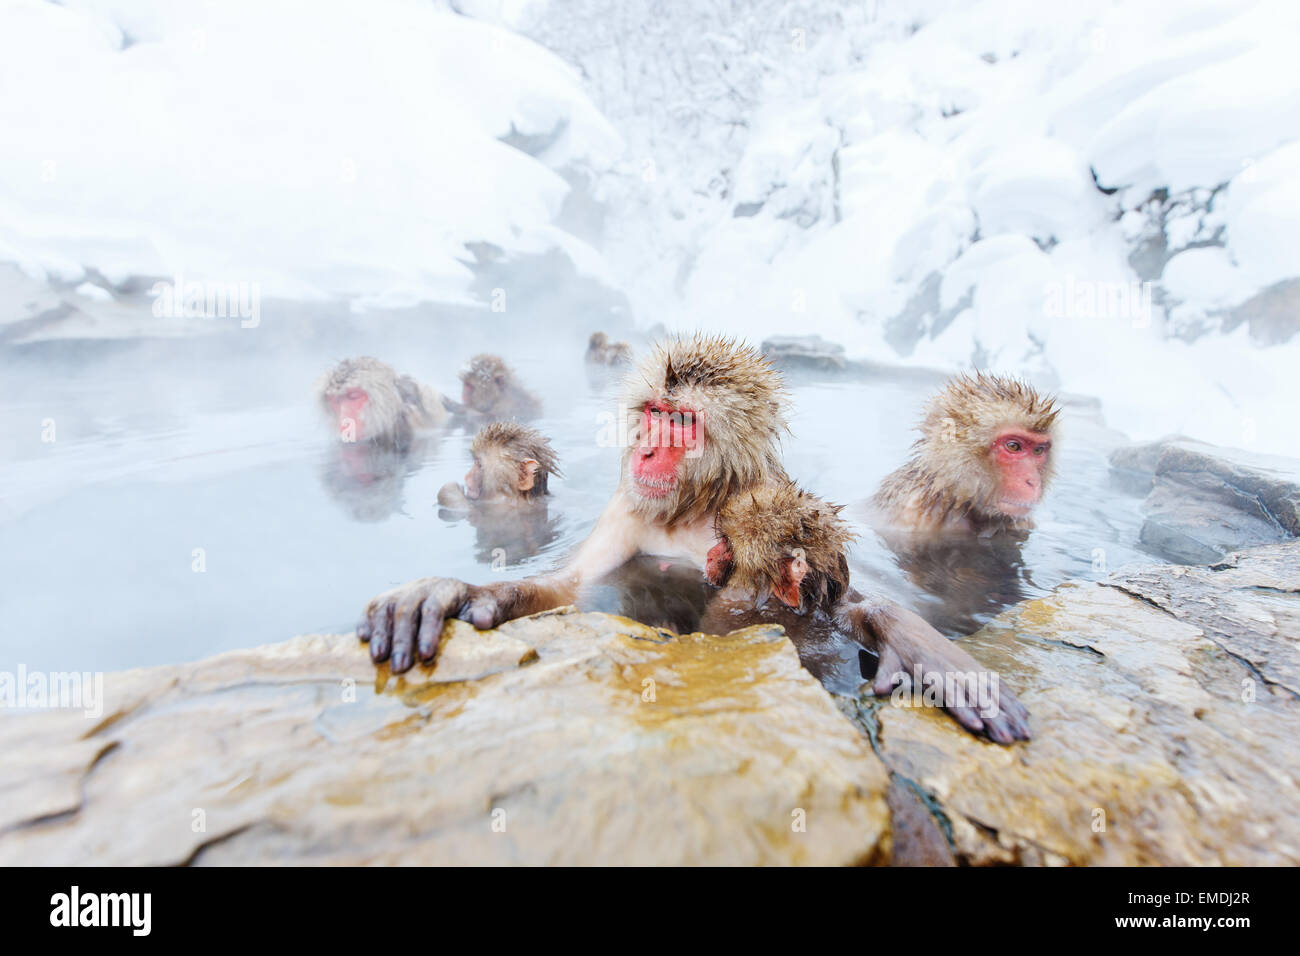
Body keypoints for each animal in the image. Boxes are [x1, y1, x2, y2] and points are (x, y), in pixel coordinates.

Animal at [356, 334, 1029, 743]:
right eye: (654, 412)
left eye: (681, 421)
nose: (648, 449)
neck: (698, 504)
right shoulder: (627, 505)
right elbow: (572, 583)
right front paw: (452, 593)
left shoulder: (769, 499)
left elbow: (838, 599)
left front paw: (926, 650)